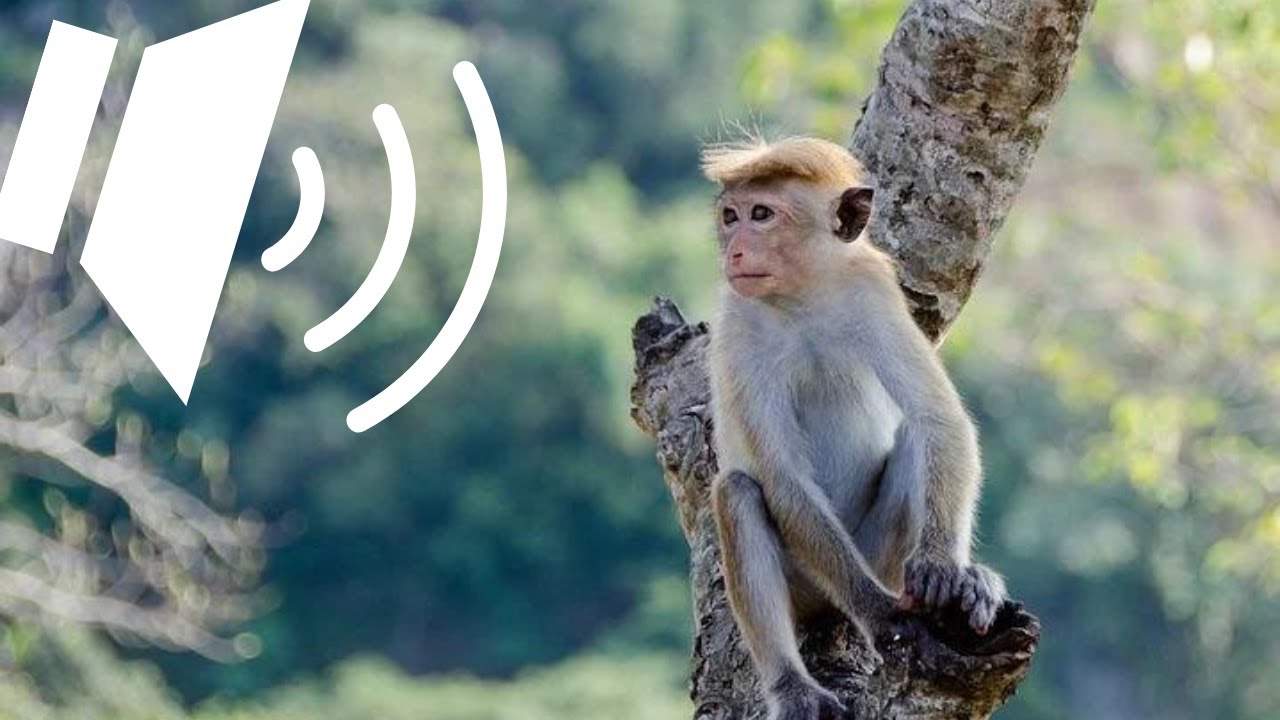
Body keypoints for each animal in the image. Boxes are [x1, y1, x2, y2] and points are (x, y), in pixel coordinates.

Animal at [703, 137, 1006, 720]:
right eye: (731, 217)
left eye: (761, 215)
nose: (735, 252)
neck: (802, 299)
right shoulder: (738, 328)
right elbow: (783, 477)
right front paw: (879, 613)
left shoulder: (873, 290)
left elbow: (937, 417)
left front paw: (947, 568)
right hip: (808, 582)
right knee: (738, 492)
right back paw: (794, 687)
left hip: (879, 555)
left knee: (913, 441)